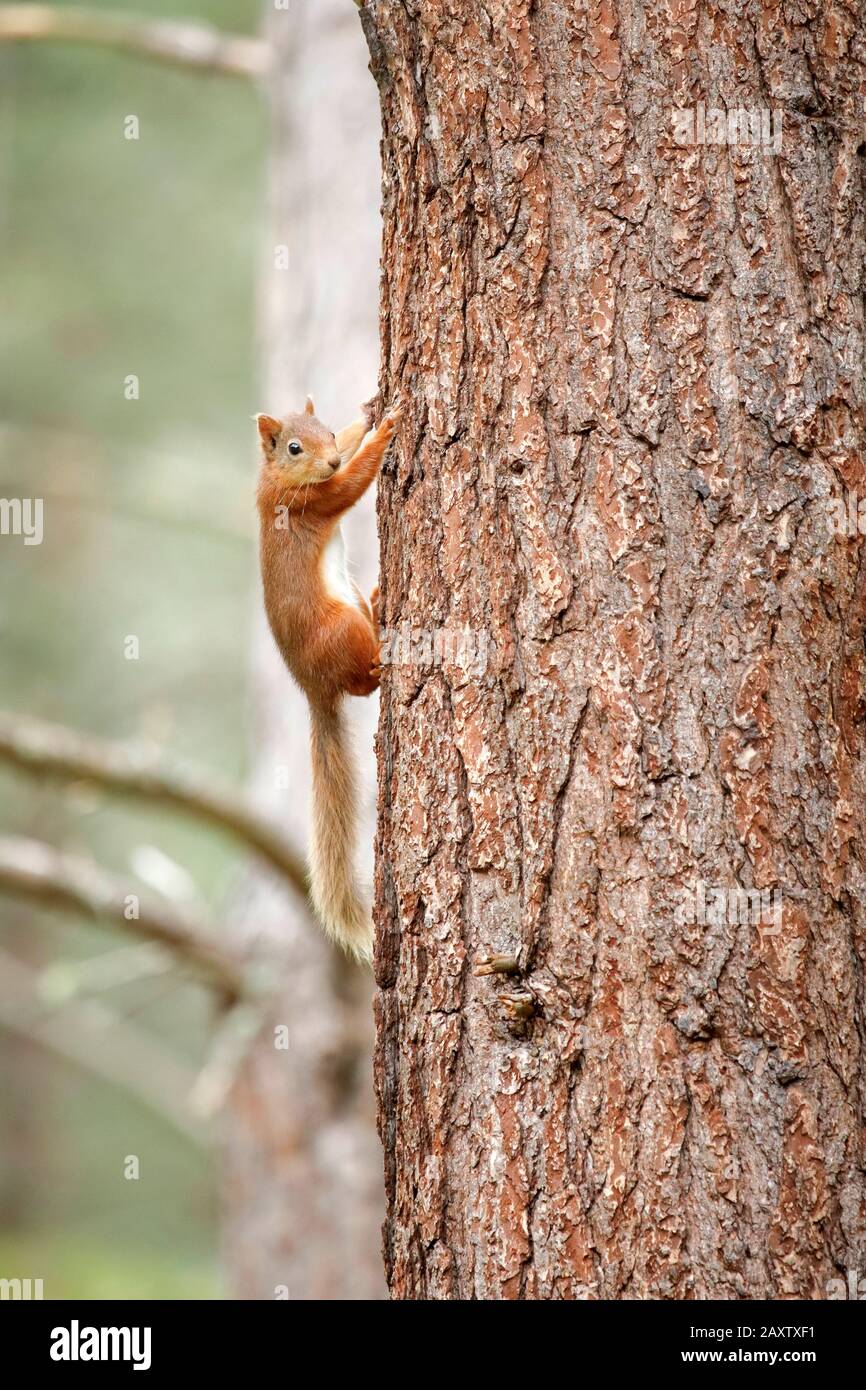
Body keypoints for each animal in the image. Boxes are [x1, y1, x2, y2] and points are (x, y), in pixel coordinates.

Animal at [256, 396, 400, 962]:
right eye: (294, 447)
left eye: (330, 432)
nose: (332, 458)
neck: (274, 477)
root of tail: (313, 687)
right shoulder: (308, 503)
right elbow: (350, 486)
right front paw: (387, 431)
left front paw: (369, 414)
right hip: (342, 628)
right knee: (364, 683)